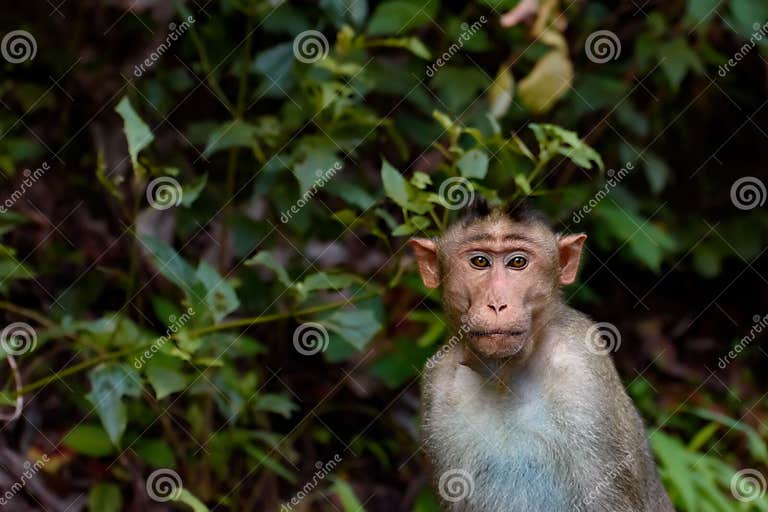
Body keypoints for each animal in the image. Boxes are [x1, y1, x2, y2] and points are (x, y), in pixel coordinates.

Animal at [409, 199, 673, 512]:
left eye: (517, 263)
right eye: (480, 262)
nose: (497, 304)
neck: (504, 374)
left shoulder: (582, 369)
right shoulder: (437, 384)